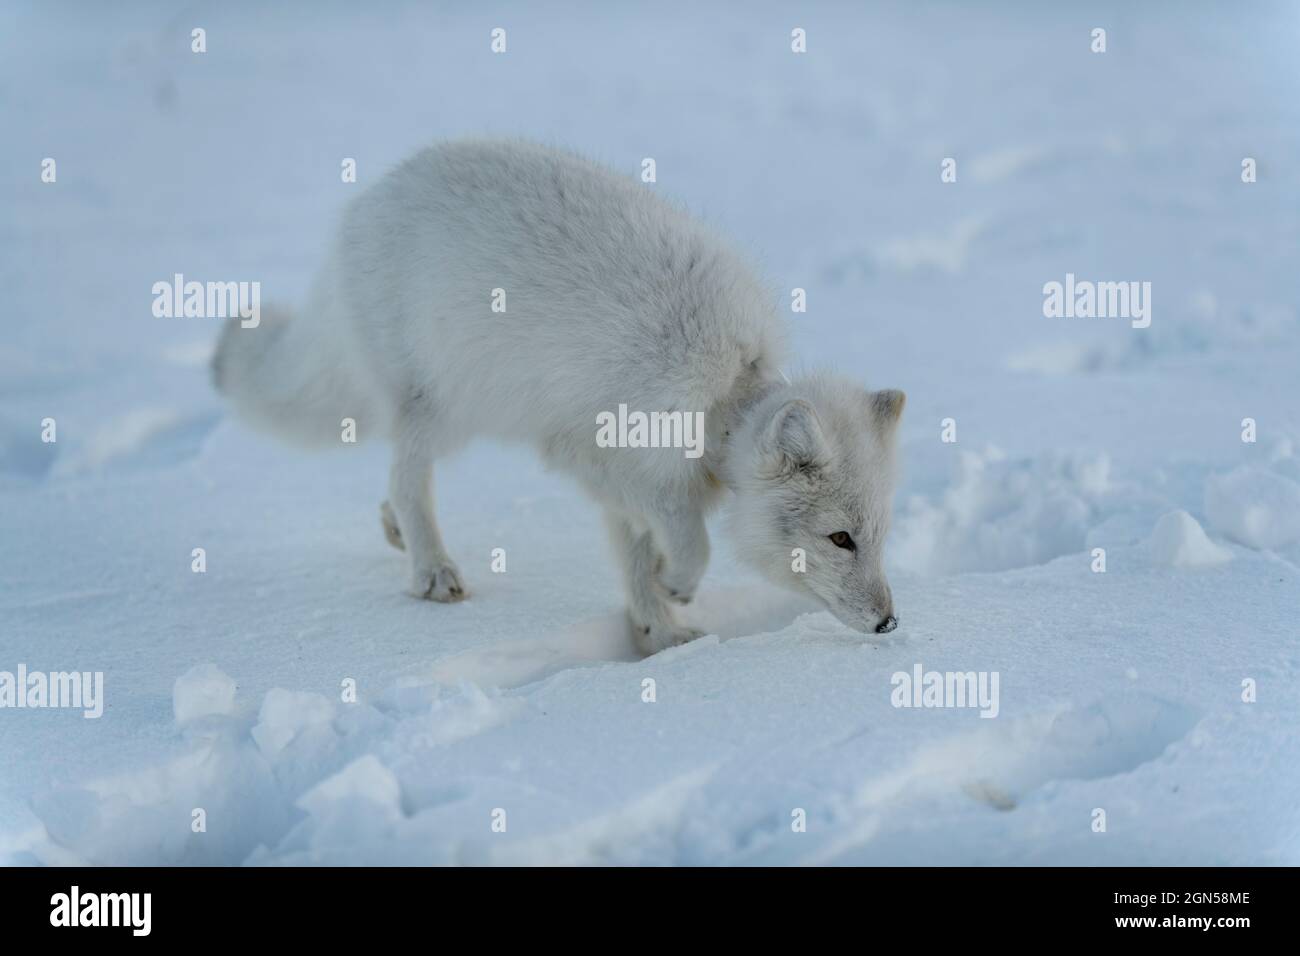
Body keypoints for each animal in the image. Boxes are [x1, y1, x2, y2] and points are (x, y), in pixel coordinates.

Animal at [213, 138, 905, 654]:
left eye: (879, 536)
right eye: (840, 539)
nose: (889, 623)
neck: (725, 399)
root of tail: (370, 198)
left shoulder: (624, 478)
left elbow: (635, 555)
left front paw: (658, 631)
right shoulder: (593, 452)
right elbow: (690, 540)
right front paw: (676, 588)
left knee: (393, 487)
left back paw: (394, 532)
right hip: (441, 406)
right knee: (408, 480)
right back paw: (431, 568)